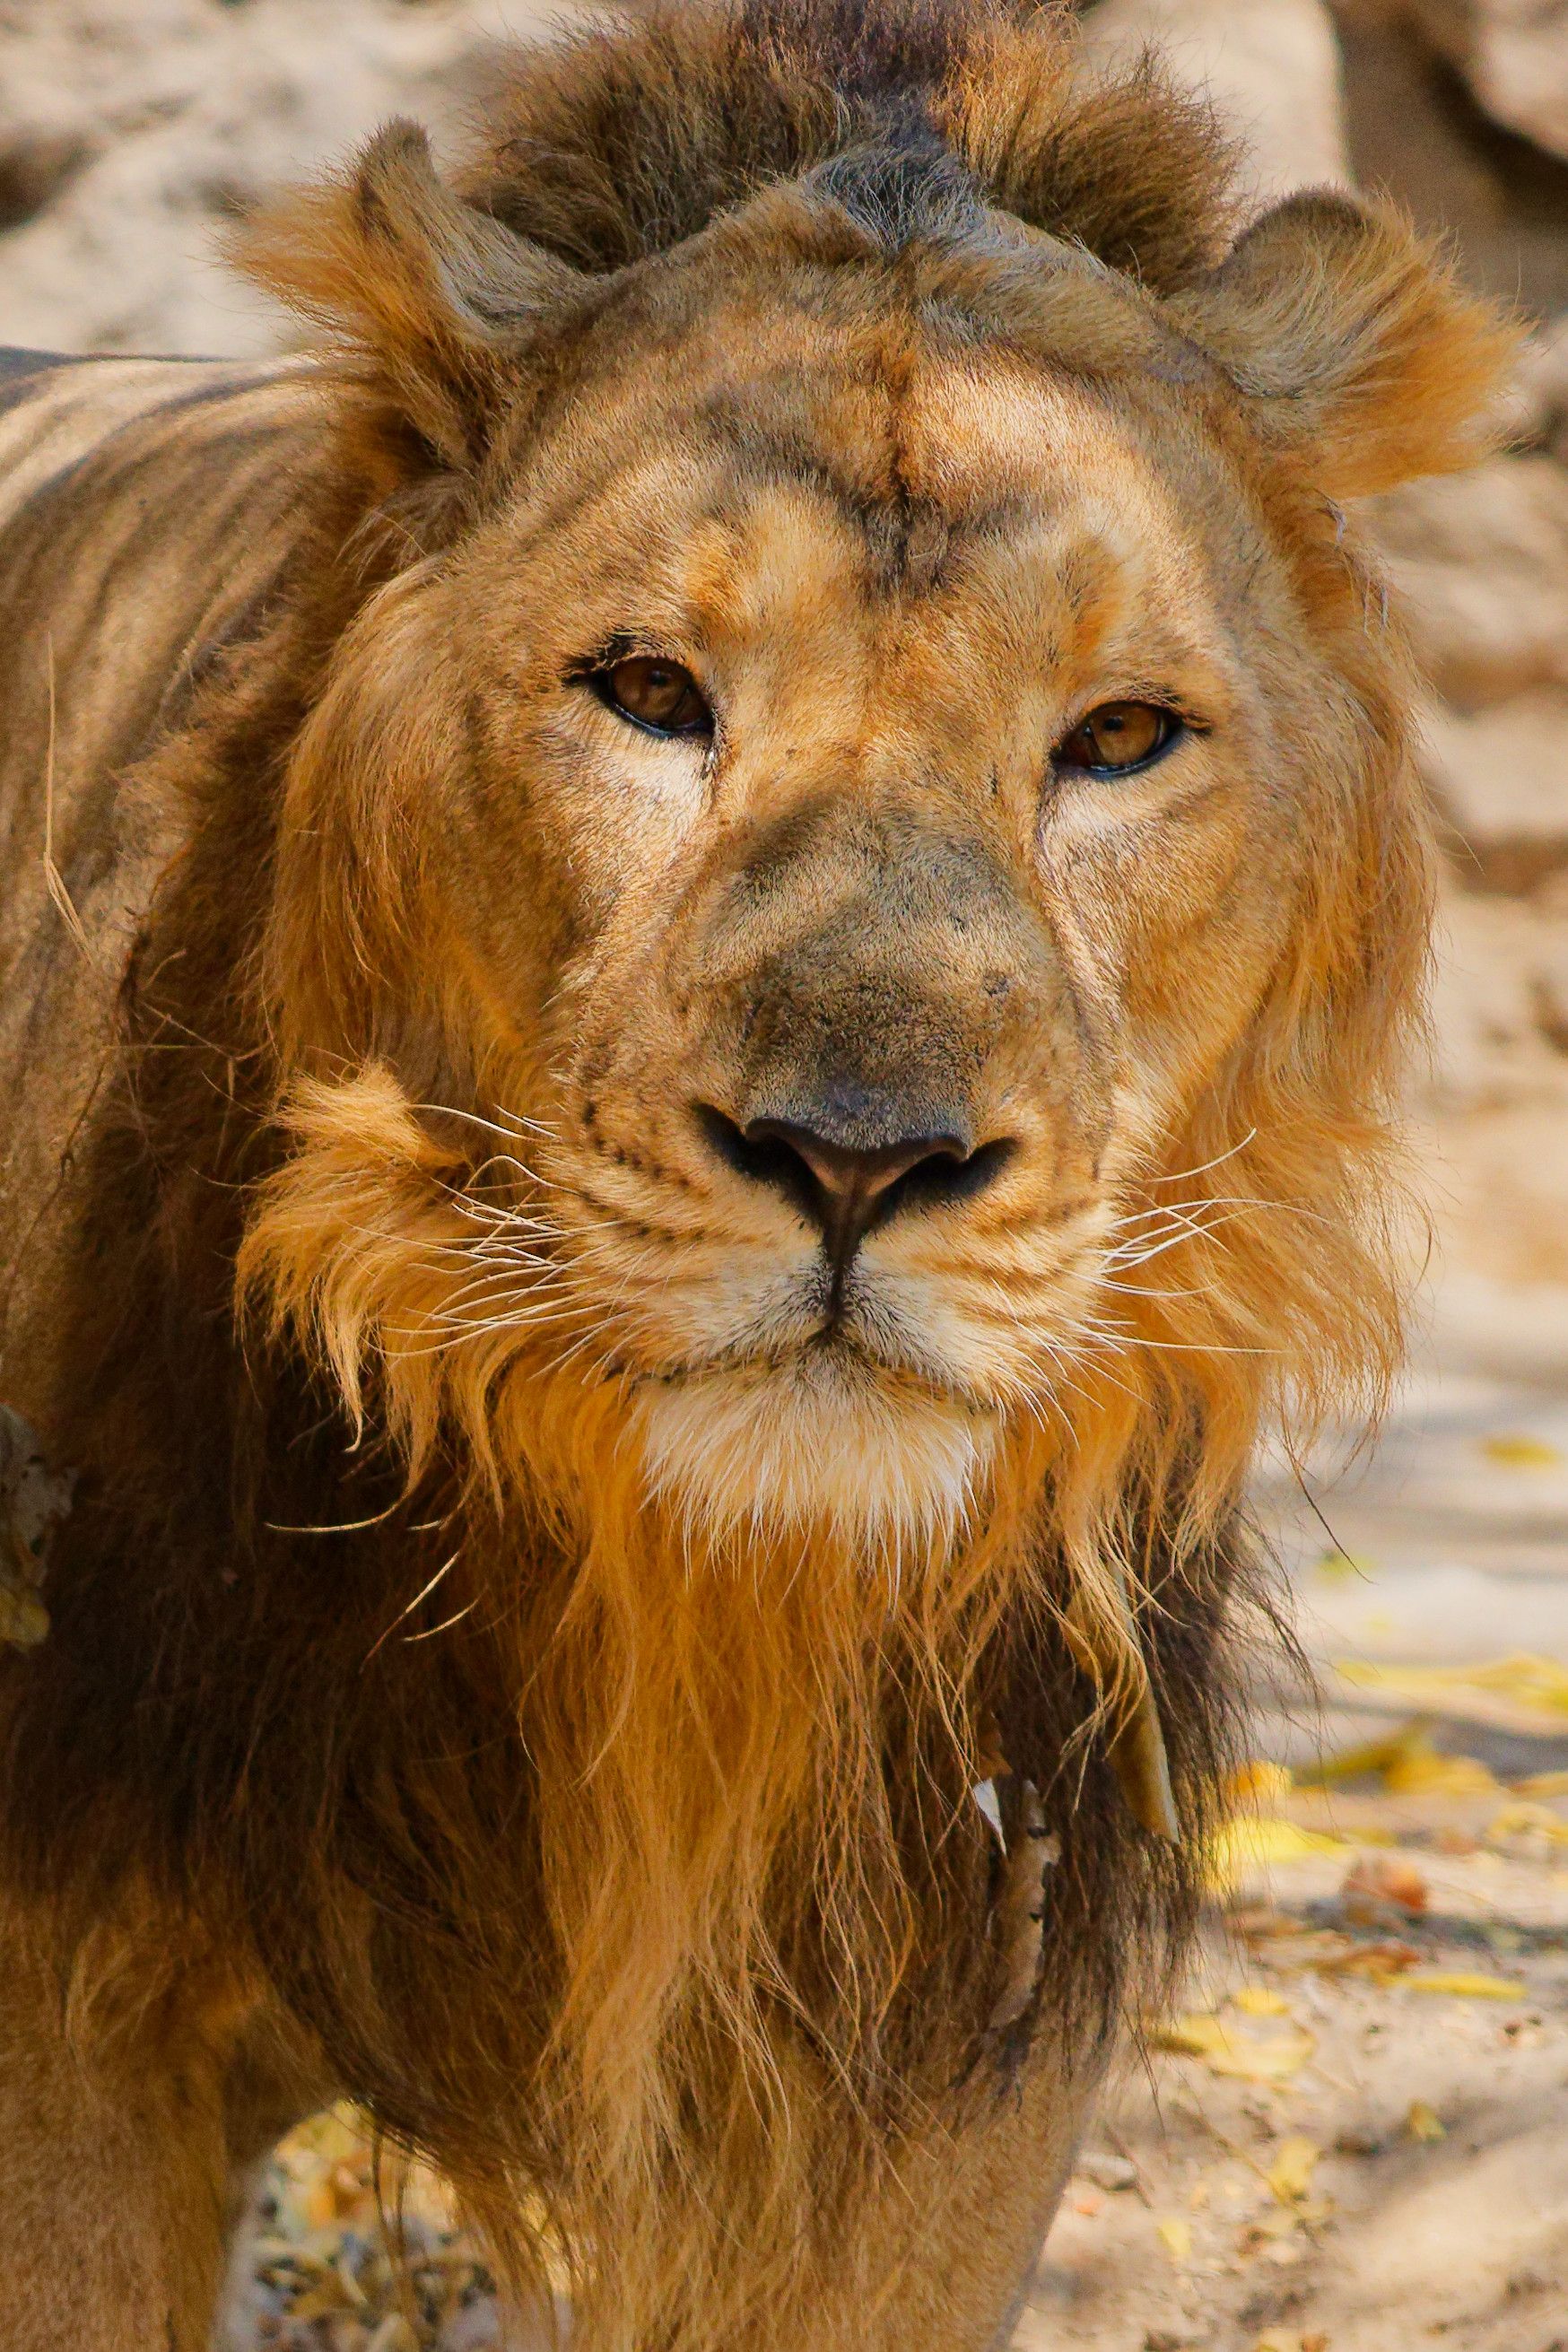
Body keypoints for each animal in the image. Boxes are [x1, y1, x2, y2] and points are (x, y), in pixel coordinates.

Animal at [0, 2, 1513, 2346]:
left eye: (1116, 739)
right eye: (646, 692)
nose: (857, 1160)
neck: (692, 1614)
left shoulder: (949, 2029)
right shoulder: (67, 2008)